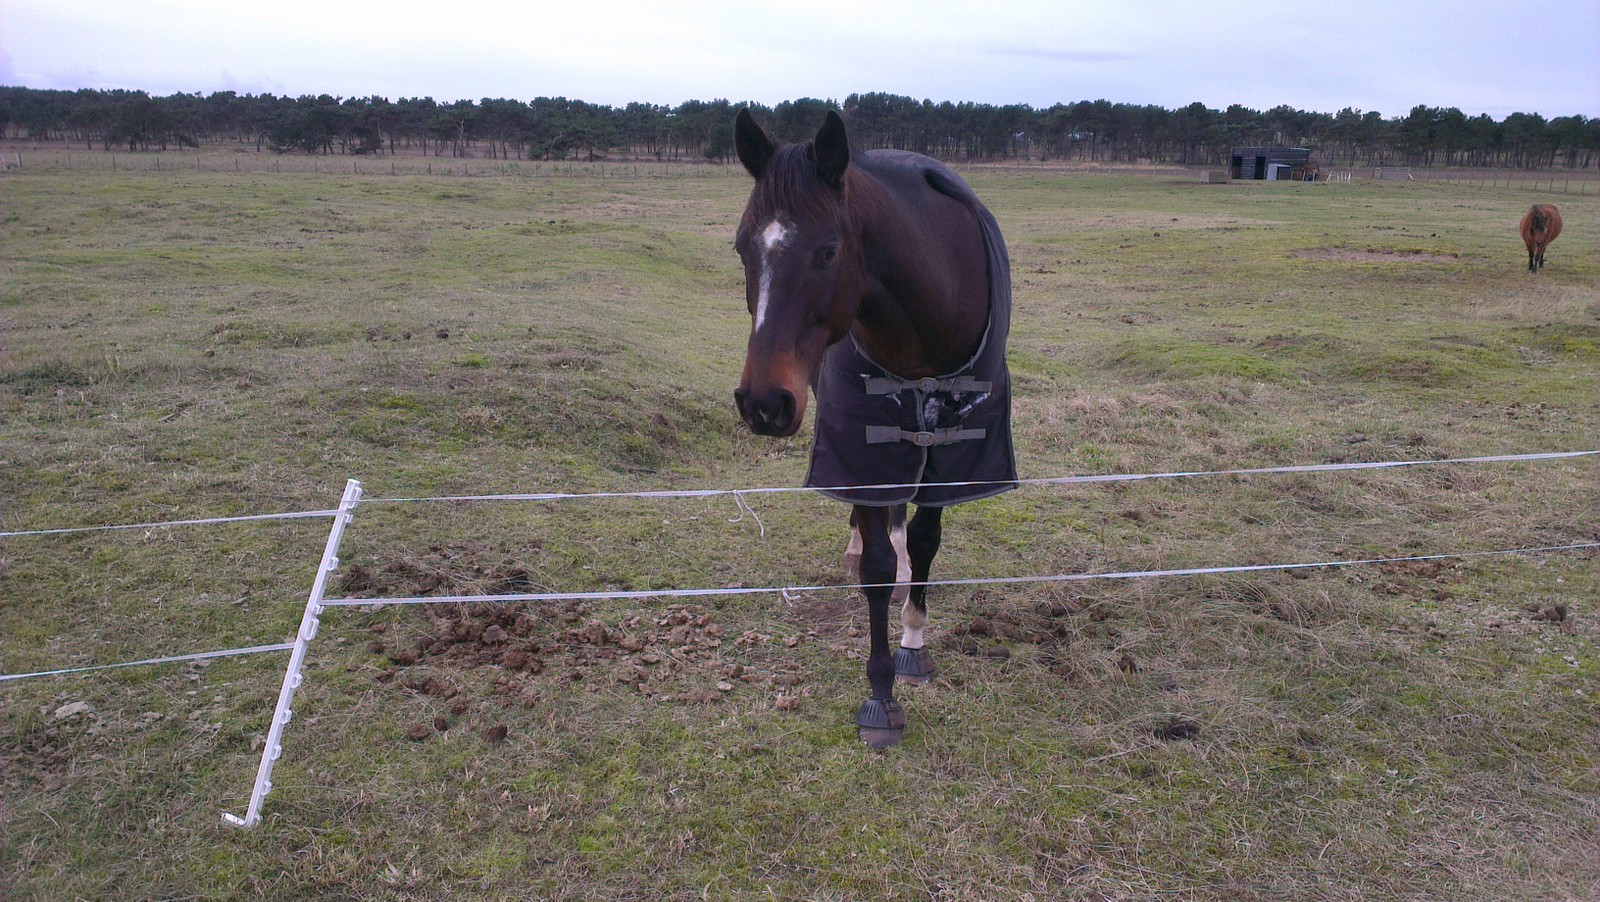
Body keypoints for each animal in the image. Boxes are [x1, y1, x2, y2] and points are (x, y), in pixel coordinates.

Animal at [731, 108, 1017, 747]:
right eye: (740, 248)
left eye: (828, 252)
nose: (763, 402)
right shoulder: (861, 447)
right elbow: (878, 570)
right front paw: (881, 695)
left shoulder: (952, 453)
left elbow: (925, 541)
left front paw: (912, 643)